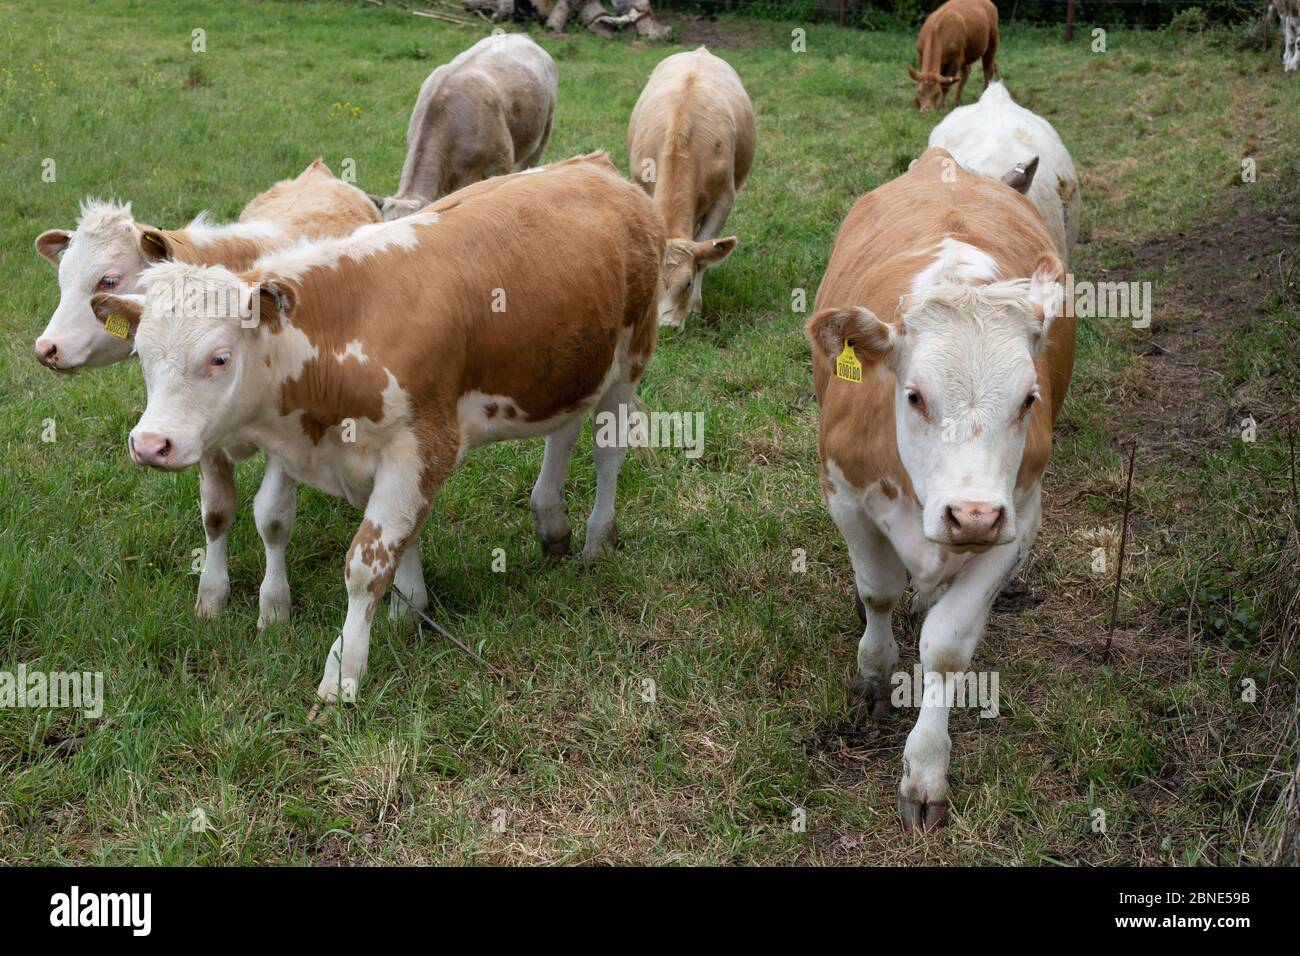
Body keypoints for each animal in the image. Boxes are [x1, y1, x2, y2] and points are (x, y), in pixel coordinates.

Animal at [33, 159, 380, 627]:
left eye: (108, 279)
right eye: (62, 278)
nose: (46, 348)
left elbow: (273, 518)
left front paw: (274, 606)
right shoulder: (198, 433)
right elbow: (216, 512)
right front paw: (212, 596)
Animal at [89, 153, 664, 706]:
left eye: (219, 358)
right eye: (141, 354)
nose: (149, 444)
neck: (342, 335)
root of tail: (596, 167)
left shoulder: (421, 447)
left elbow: (366, 564)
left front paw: (344, 671)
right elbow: (391, 536)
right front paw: (408, 609)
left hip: (630, 358)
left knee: (608, 447)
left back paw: (597, 539)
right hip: (572, 365)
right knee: (562, 434)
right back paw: (552, 521)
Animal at [807, 148, 1075, 831]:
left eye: (1029, 398)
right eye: (914, 395)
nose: (971, 514)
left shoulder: (1017, 520)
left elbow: (948, 648)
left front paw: (925, 770)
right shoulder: (845, 495)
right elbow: (876, 591)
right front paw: (874, 671)